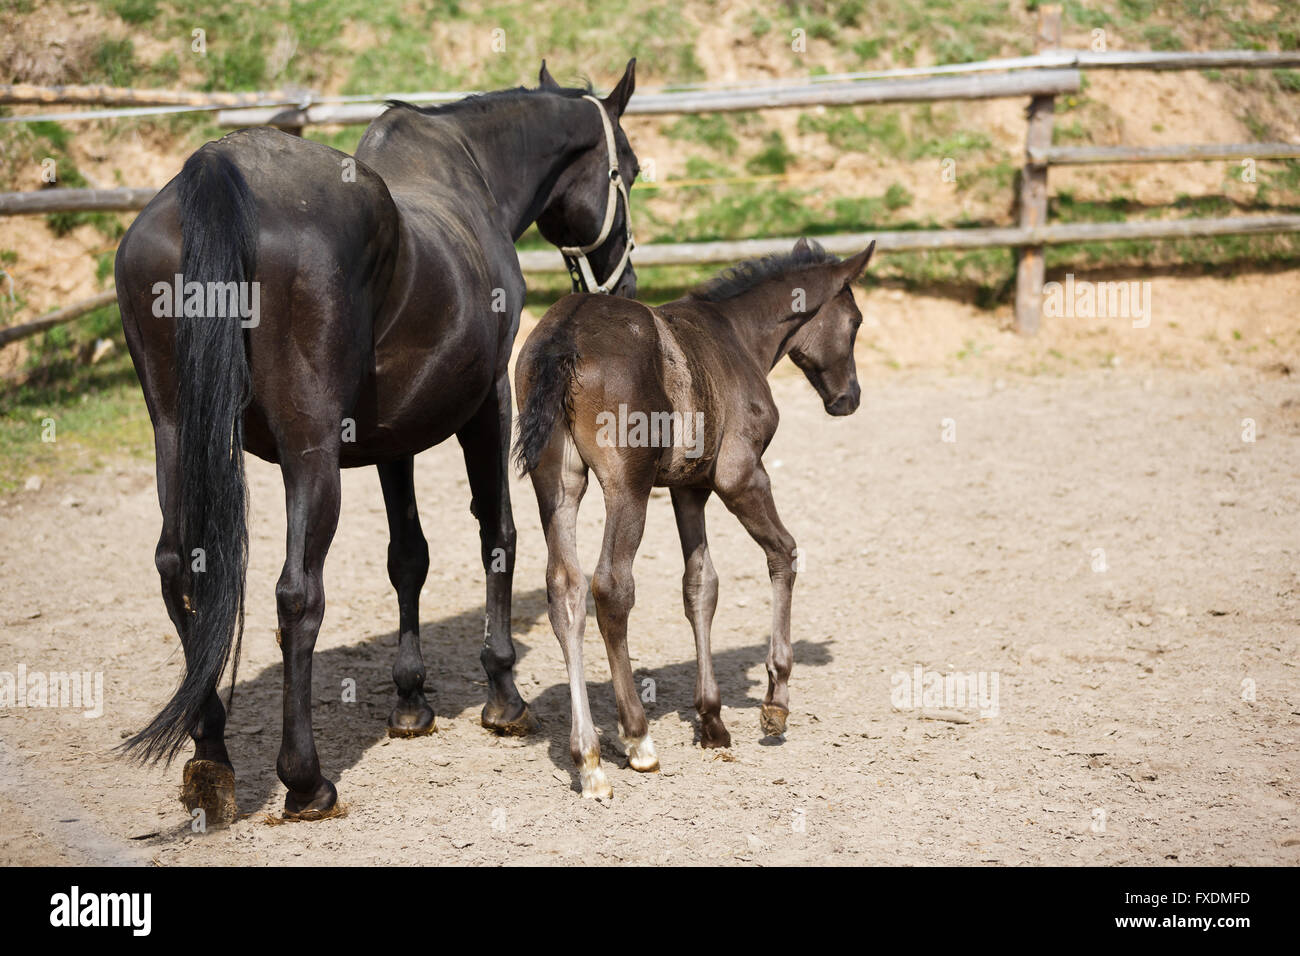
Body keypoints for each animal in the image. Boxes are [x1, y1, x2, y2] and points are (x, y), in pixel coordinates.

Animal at [114, 60, 641, 824]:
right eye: (628, 167)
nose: (624, 283)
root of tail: (214, 175)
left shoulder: (396, 434)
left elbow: (408, 557)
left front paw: (411, 699)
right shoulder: (490, 404)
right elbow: (498, 534)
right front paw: (503, 694)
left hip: (176, 436)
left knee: (180, 570)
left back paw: (210, 757)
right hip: (308, 453)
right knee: (296, 594)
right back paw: (305, 781)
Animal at [513, 237, 874, 798]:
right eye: (855, 321)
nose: (848, 399)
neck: (737, 335)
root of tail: (563, 335)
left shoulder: (688, 489)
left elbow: (700, 586)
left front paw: (712, 719)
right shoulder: (740, 476)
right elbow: (784, 553)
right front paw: (776, 699)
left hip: (559, 484)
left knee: (565, 591)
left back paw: (588, 758)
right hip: (628, 485)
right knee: (611, 587)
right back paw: (637, 739)